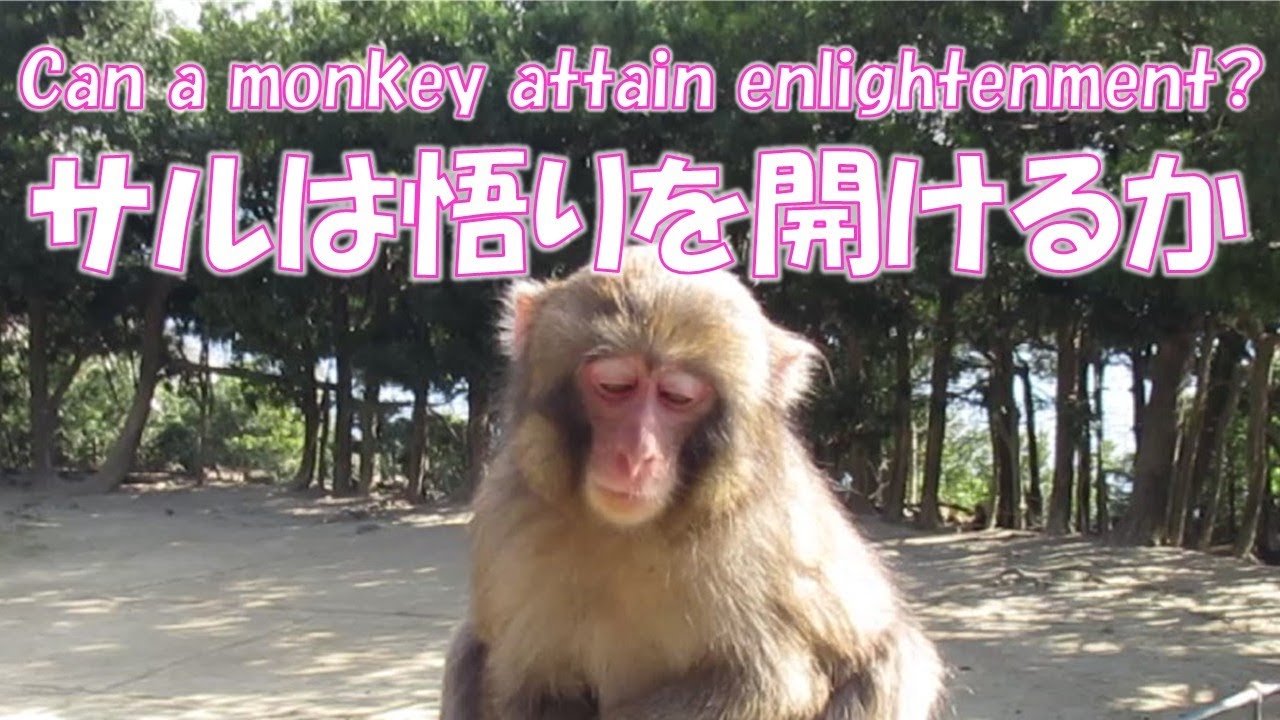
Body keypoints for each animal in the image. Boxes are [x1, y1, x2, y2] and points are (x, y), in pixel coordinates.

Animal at [440, 249, 944, 720]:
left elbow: (769, 683)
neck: (629, 532)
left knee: (893, 659)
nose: (637, 454)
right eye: (615, 385)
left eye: (677, 397)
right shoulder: (509, 528)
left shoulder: (758, 540)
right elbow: (526, 684)